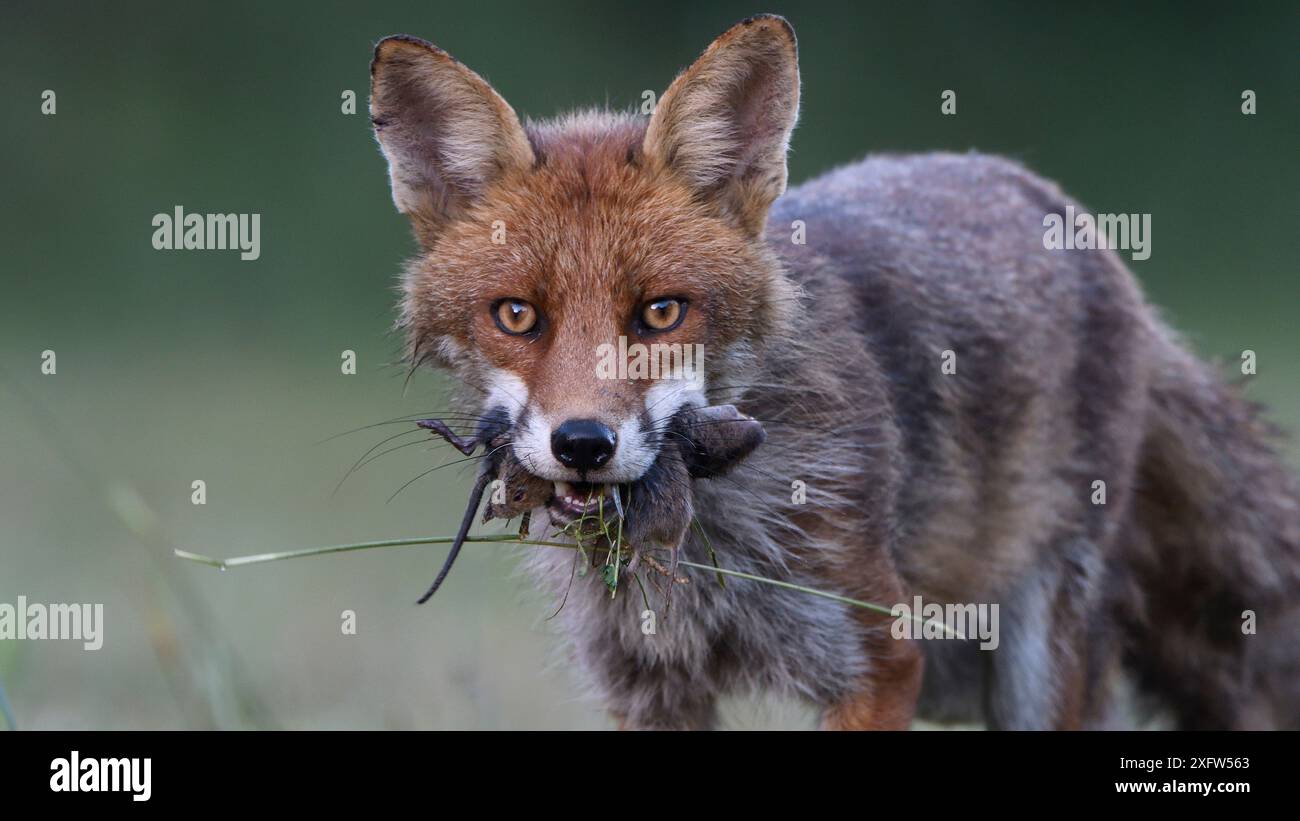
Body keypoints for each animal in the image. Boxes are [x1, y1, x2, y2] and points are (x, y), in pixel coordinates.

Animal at [369, 15, 1300, 729]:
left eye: (663, 313)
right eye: (516, 316)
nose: (584, 444)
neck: (703, 540)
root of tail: (1058, 204)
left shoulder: (878, 658)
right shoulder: (648, 684)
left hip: (1036, 655)